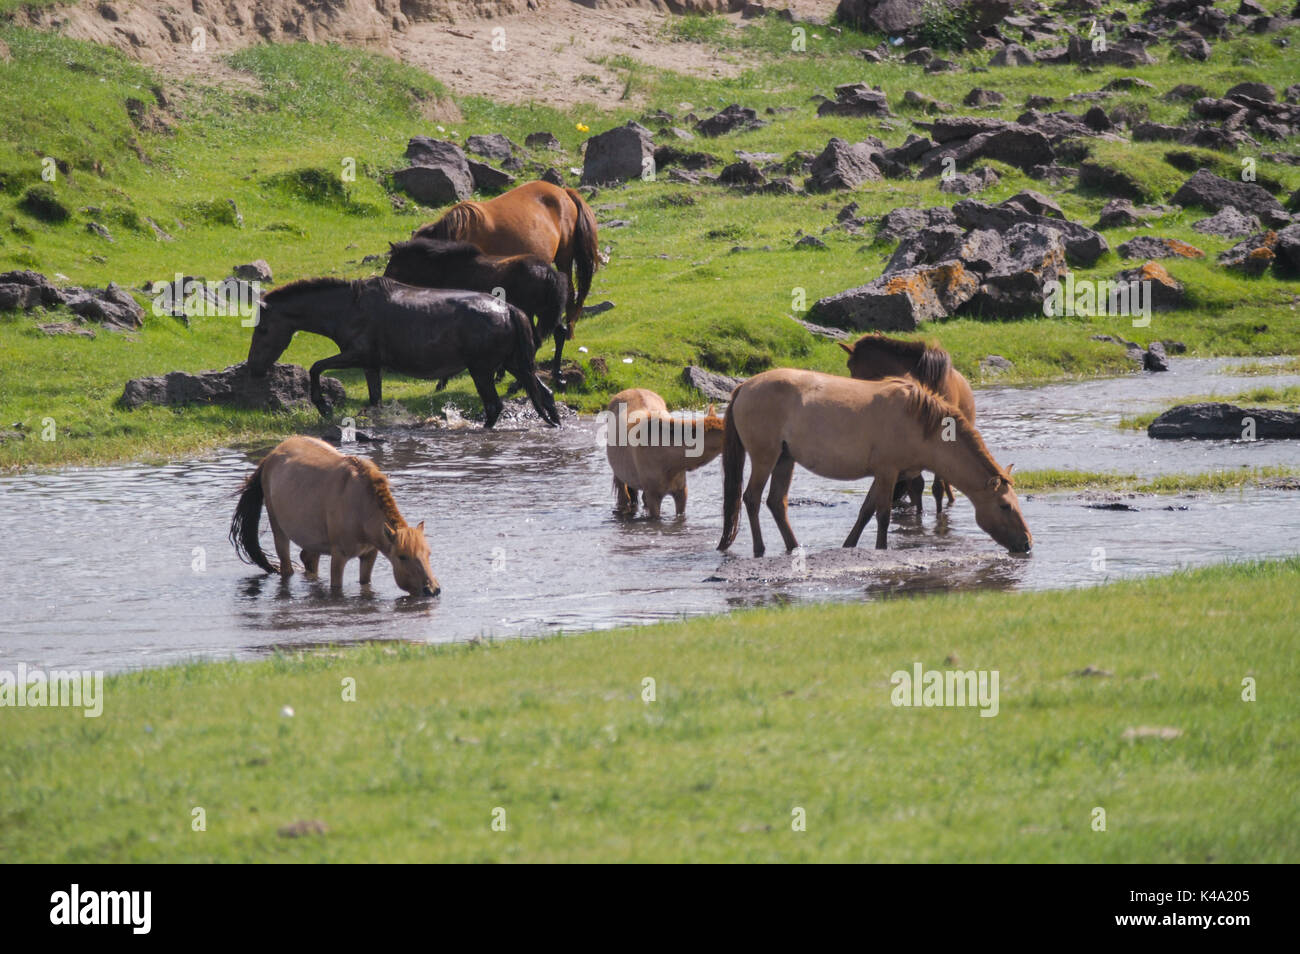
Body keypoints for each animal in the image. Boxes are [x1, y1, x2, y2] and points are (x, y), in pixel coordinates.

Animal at [229, 435, 439, 596]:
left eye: (428, 553)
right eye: (402, 557)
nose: (432, 590)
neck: (361, 508)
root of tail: (269, 457)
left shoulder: (369, 554)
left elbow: (365, 583)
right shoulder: (339, 555)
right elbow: (336, 588)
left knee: (308, 558)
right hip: (279, 529)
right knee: (286, 568)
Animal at [245, 277, 560, 428]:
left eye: (263, 330)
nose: (253, 368)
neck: (349, 307)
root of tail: (509, 309)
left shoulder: (358, 355)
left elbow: (316, 367)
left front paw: (323, 406)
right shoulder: (371, 365)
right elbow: (375, 401)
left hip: (482, 370)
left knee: (494, 407)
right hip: (515, 364)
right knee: (545, 394)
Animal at [383, 237, 569, 384]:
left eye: (393, 266)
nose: (386, 284)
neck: (446, 269)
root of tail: (550, 274)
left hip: (530, 313)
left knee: (536, 341)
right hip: (549, 313)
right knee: (560, 333)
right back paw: (557, 374)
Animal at [716, 369, 1031, 556]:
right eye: (1005, 506)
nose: (1027, 543)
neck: (921, 425)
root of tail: (744, 387)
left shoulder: (886, 474)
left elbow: (865, 512)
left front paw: (849, 545)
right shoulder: (888, 472)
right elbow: (882, 514)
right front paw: (881, 549)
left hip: (785, 458)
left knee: (776, 502)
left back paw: (794, 547)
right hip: (765, 456)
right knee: (751, 498)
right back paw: (760, 549)